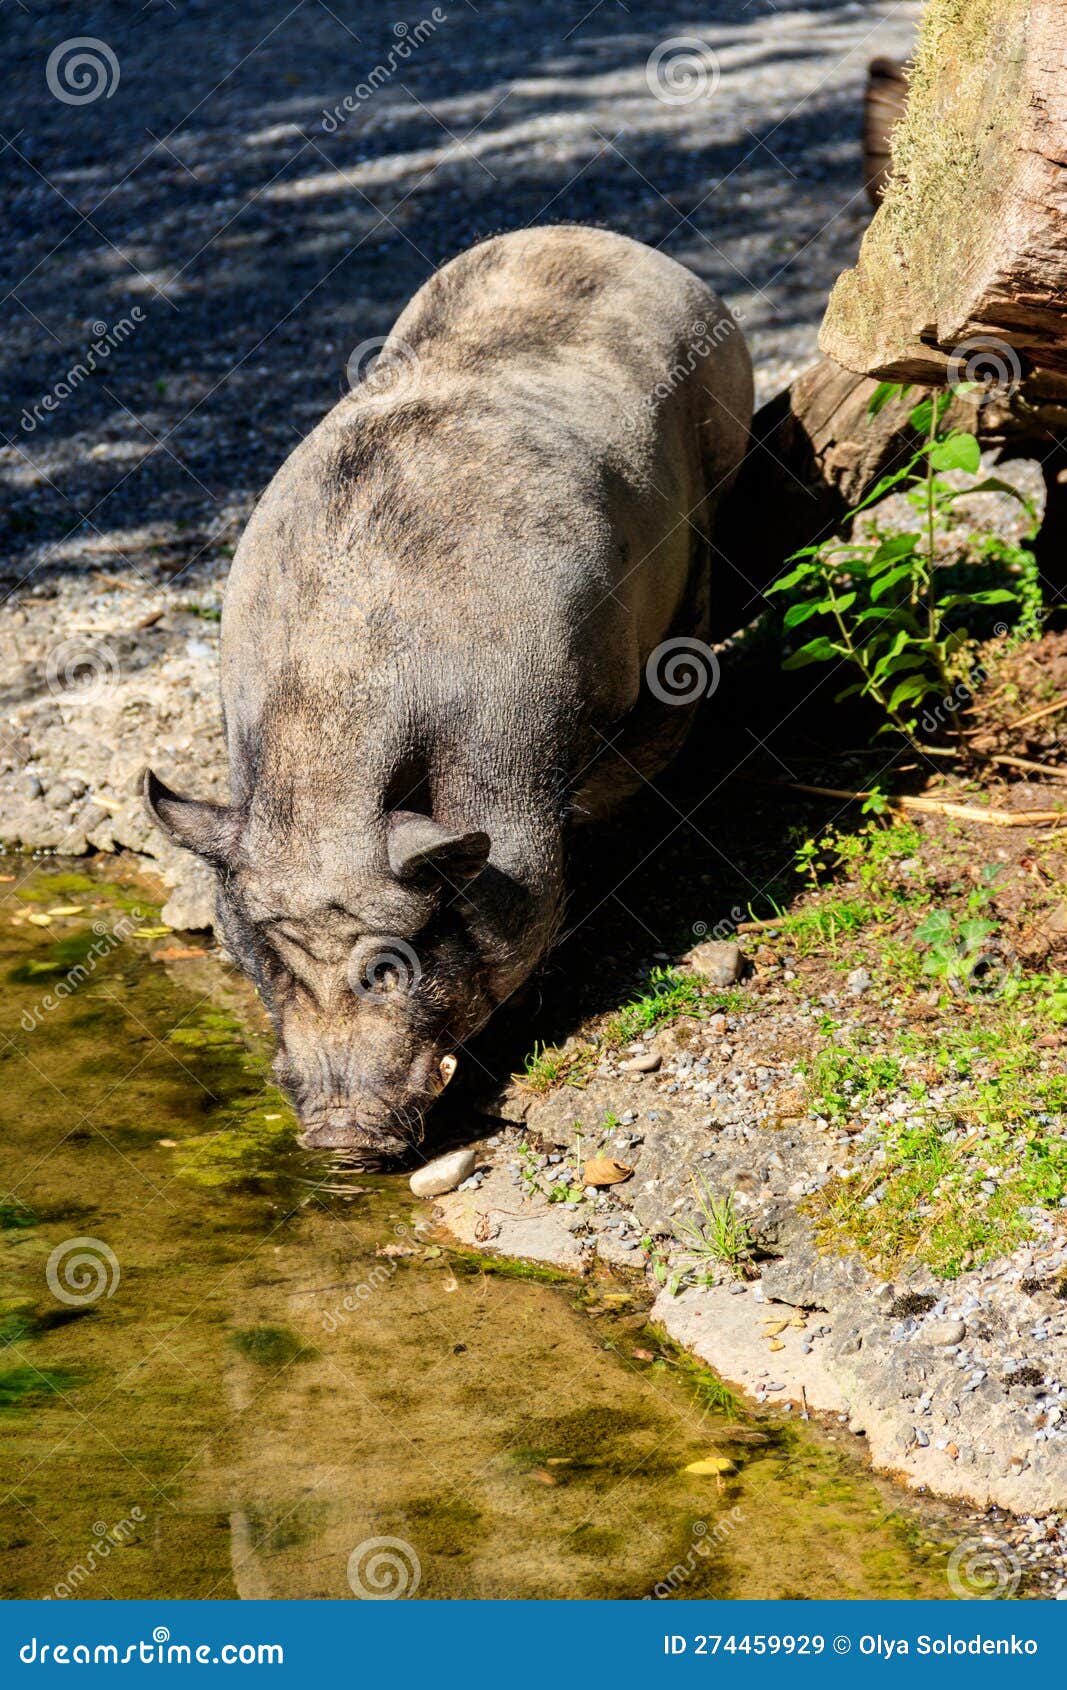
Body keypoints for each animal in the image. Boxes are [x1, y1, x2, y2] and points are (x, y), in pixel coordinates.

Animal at [143, 224, 753, 1161]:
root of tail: (597, 237)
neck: (333, 710)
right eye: (271, 960)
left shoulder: (515, 749)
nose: (339, 1137)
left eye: (393, 962)